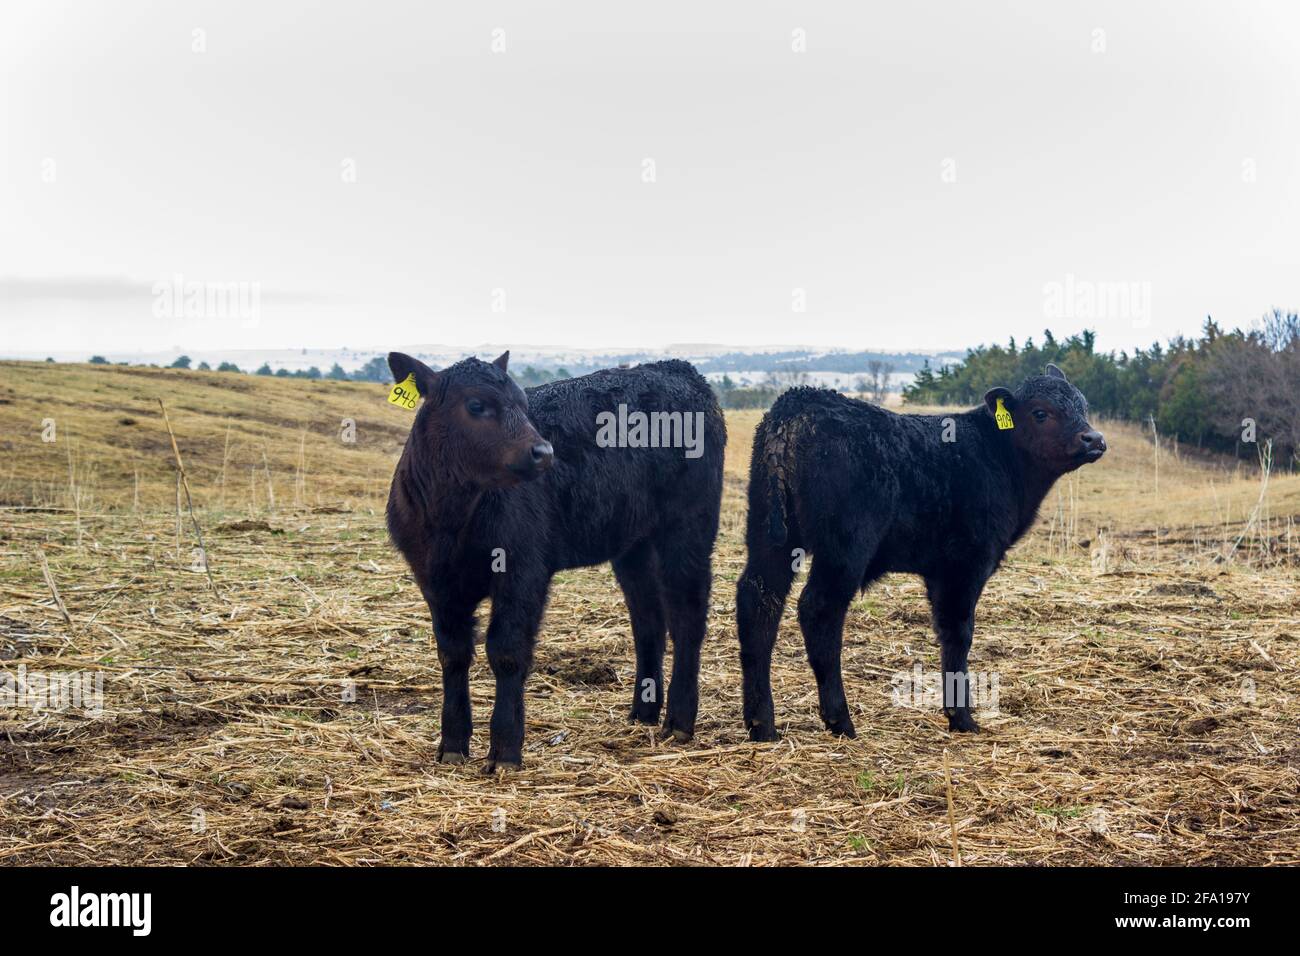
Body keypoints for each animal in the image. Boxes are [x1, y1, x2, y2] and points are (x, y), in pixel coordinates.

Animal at [385, 351, 725, 771]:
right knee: (648, 622)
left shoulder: (523, 570)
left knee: (687, 619)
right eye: (477, 405)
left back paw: (678, 722)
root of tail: (674, 366)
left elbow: (507, 651)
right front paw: (452, 745)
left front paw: (506, 750)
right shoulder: (435, 582)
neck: (451, 517)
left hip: (688, 528)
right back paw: (643, 713)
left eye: (522, 403)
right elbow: (452, 655)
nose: (543, 452)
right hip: (633, 545)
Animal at [735, 364, 1105, 739]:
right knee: (819, 610)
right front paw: (962, 717)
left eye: (1083, 406)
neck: (997, 457)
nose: (1094, 439)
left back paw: (762, 724)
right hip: (845, 546)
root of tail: (798, 402)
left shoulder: (938, 571)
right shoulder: (966, 563)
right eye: (1041, 412)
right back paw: (840, 720)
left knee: (758, 602)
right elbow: (958, 633)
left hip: (768, 536)